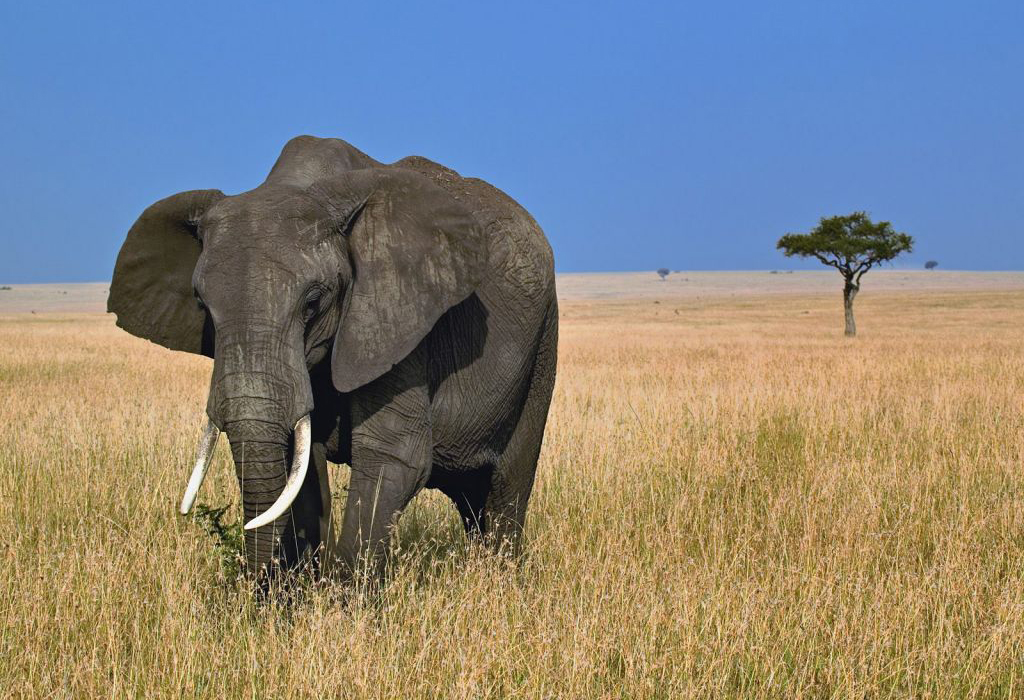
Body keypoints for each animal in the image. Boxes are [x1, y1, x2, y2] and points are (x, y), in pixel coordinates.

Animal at [108, 135, 558, 580]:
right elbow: (302, 466)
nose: (258, 585)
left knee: (505, 487)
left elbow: (394, 454)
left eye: (313, 303)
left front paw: (344, 596)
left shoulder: (395, 316)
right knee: (471, 499)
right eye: (202, 305)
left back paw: (499, 578)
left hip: (542, 345)